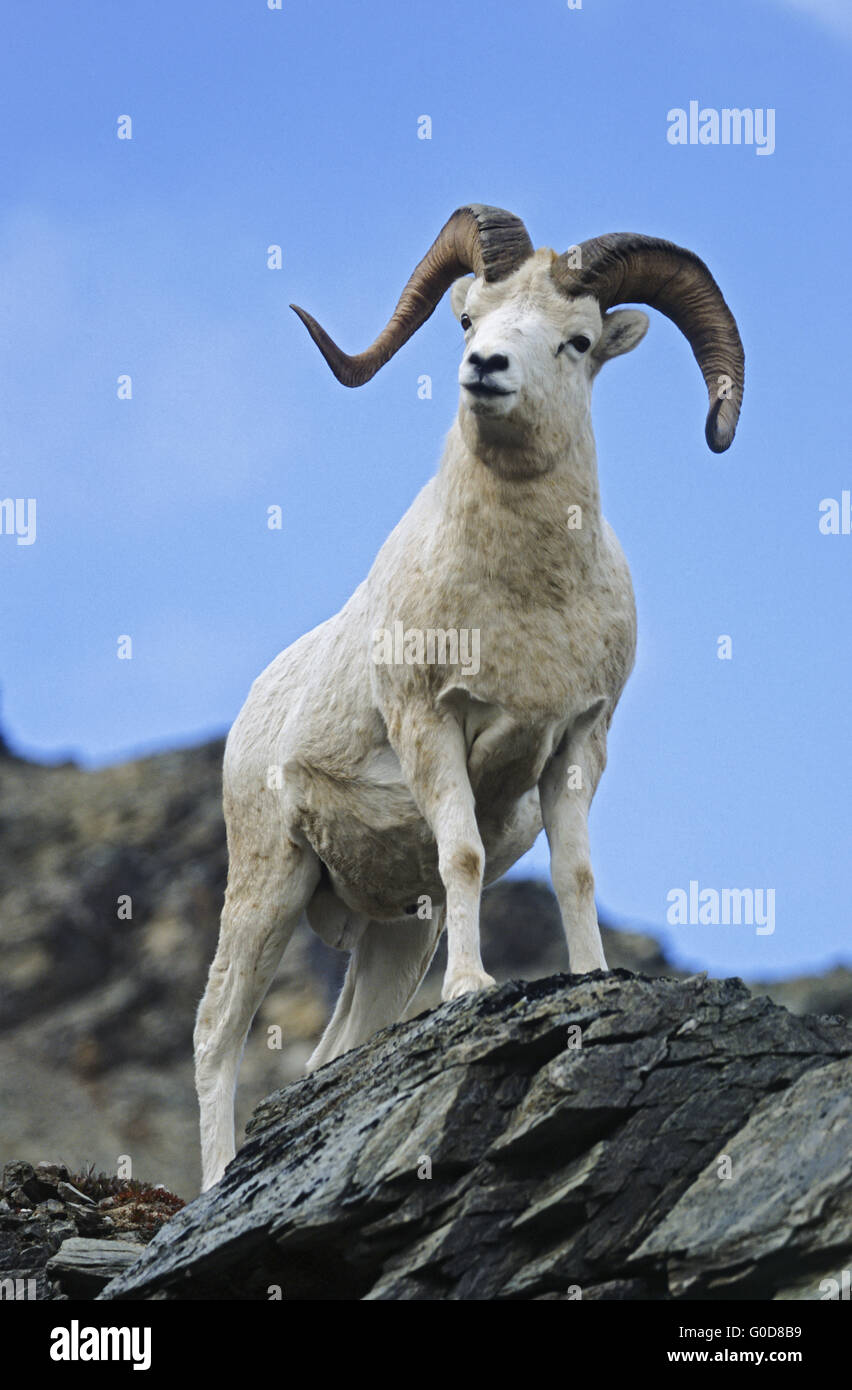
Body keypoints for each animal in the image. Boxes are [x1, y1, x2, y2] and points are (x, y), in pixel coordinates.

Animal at [194, 204, 744, 1191]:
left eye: (575, 340)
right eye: (467, 321)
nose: (486, 368)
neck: (523, 597)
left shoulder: (578, 743)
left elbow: (576, 871)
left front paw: (592, 976)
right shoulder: (433, 727)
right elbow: (465, 858)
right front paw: (474, 990)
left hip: (390, 936)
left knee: (336, 1044)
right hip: (268, 881)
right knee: (216, 1034)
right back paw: (215, 1181)